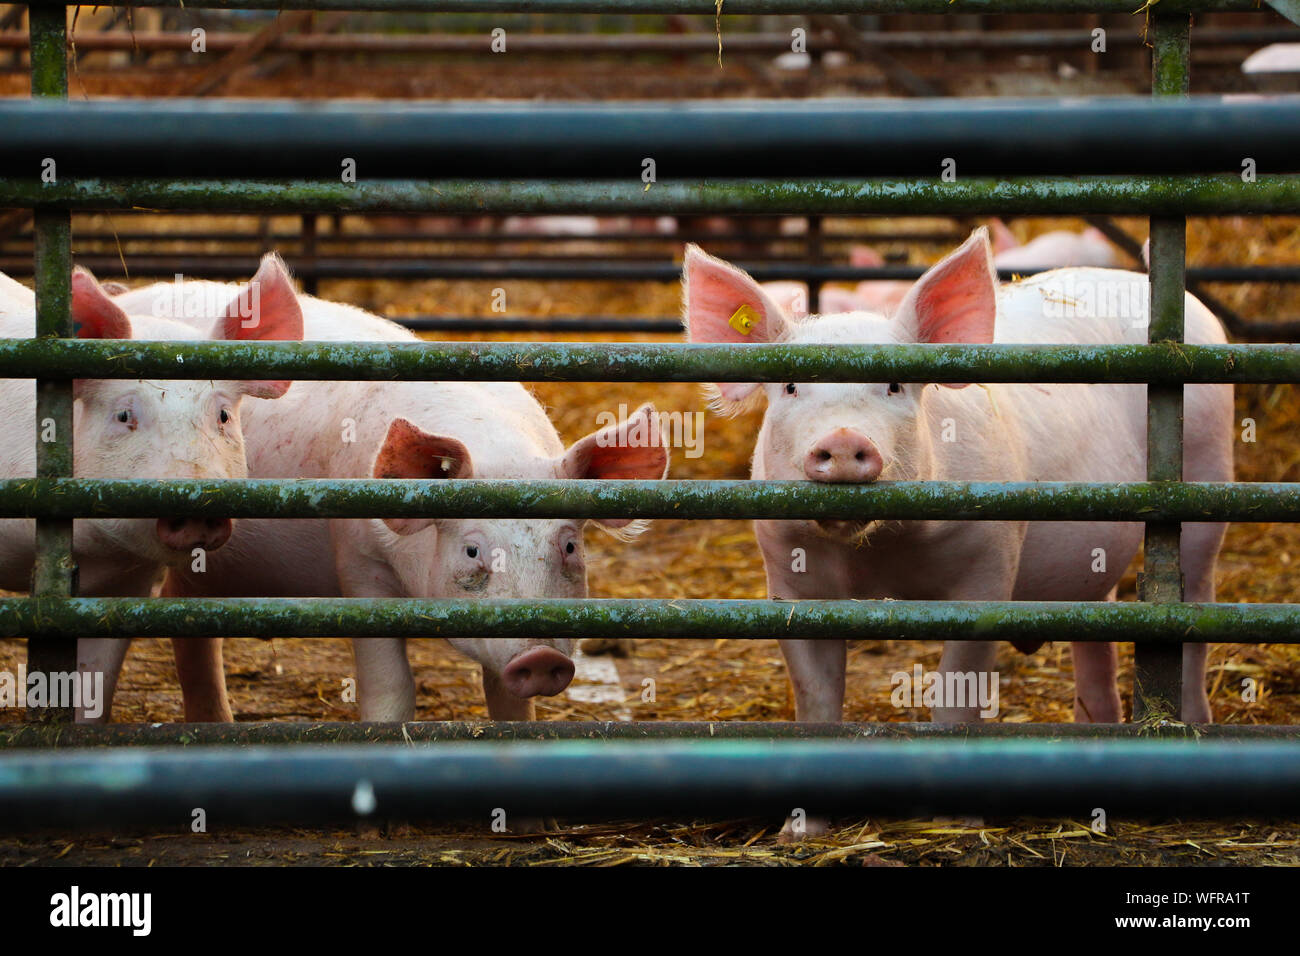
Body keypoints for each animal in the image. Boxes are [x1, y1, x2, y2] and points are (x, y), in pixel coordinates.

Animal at [102, 261, 669, 723]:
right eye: (472, 550)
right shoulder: (359, 562)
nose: (543, 658)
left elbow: (510, 703)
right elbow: (391, 688)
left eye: (570, 546)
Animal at [684, 228, 1230, 733]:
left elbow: (956, 699)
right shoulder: (789, 581)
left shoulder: (988, 568)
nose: (842, 438)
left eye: (894, 385)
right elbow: (815, 702)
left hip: (1206, 474)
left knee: (1197, 604)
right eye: (792, 386)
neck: (877, 558)